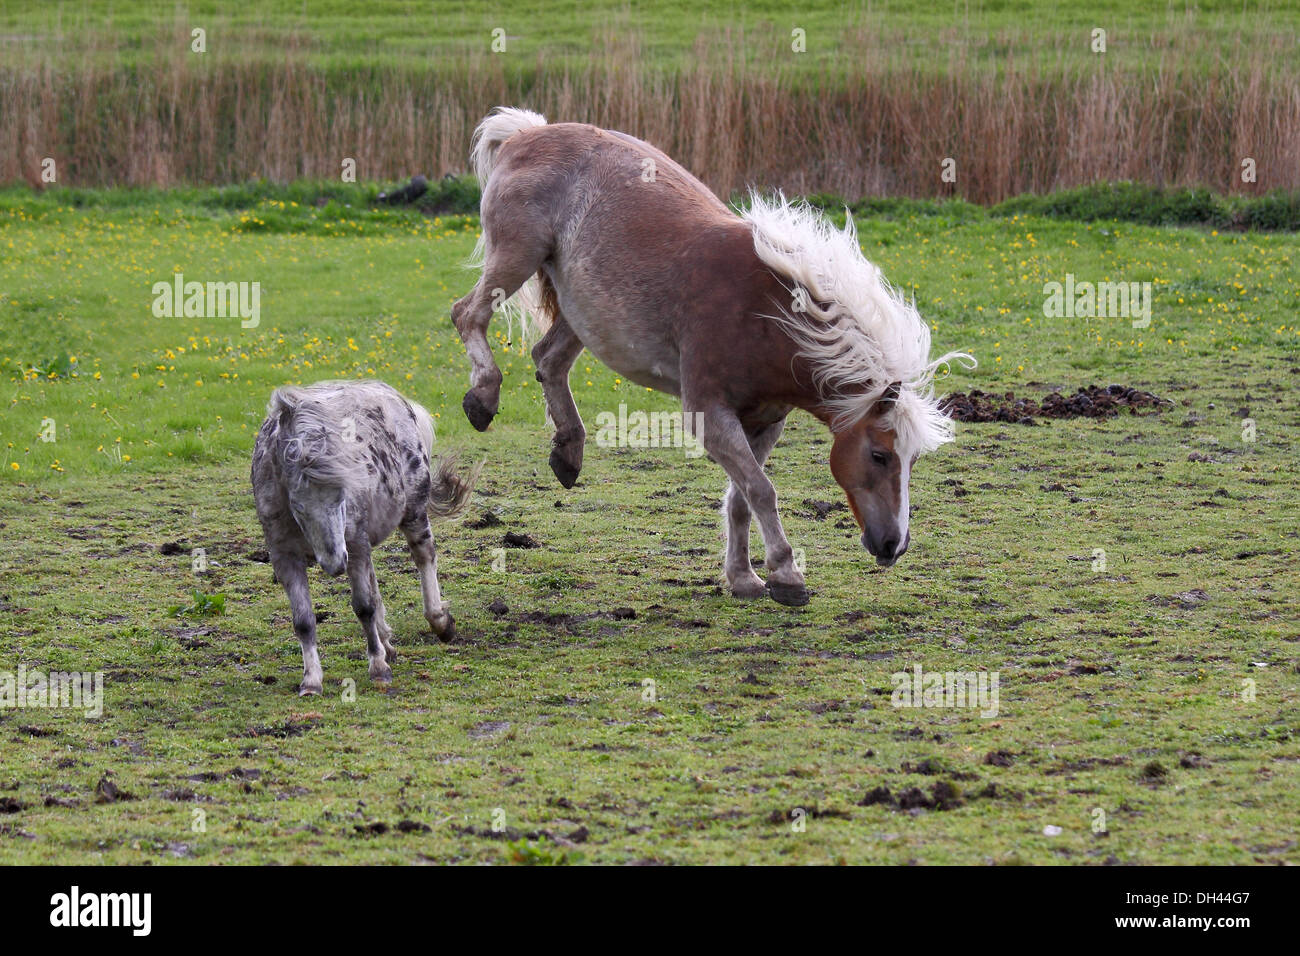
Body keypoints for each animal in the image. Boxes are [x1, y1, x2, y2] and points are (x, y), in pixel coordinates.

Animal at [251, 380, 478, 694]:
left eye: (342, 495)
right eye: (298, 506)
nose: (334, 564)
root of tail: (395, 397)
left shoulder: (355, 544)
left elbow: (363, 606)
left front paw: (378, 668)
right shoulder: (285, 557)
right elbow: (304, 621)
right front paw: (311, 681)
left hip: (412, 514)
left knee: (424, 556)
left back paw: (439, 623)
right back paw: (387, 642)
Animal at [451, 107, 971, 606]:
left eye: (912, 458)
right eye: (880, 455)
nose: (894, 545)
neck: (765, 316)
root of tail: (527, 133)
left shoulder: (764, 422)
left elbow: (742, 497)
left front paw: (744, 578)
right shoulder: (710, 414)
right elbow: (761, 489)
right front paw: (787, 574)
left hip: (580, 310)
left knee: (549, 360)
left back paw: (568, 450)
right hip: (515, 257)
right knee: (468, 315)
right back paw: (483, 397)